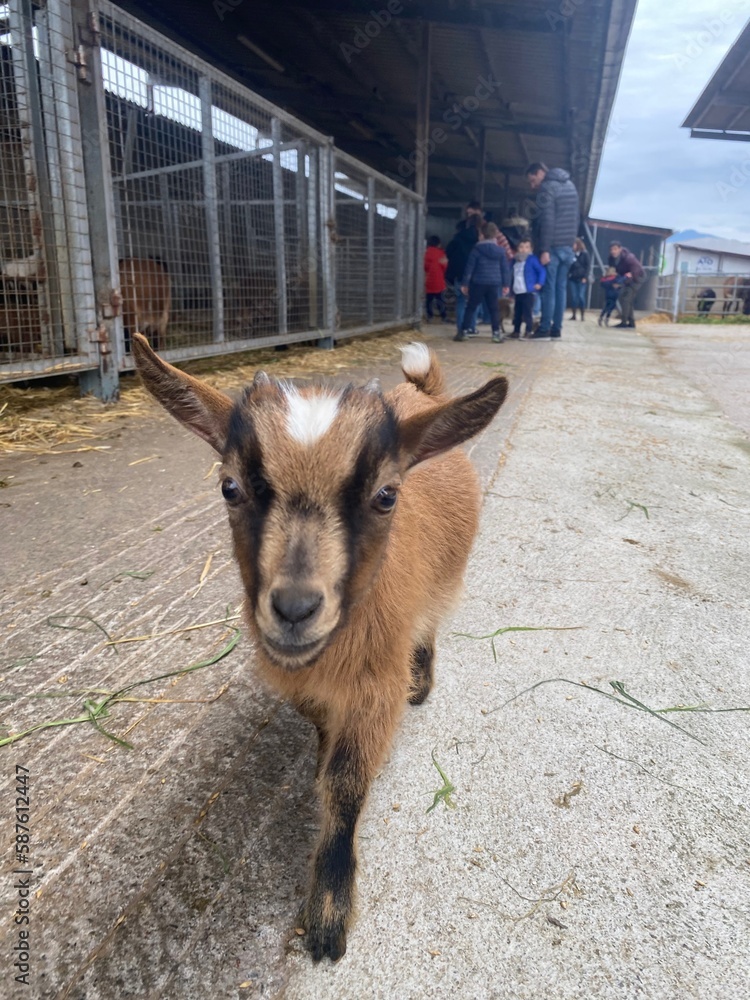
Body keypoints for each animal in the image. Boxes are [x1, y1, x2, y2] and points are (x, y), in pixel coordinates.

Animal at [131, 333, 508, 961]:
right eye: (229, 487)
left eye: (386, 496)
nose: (294, 609)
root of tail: (422, 393)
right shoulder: (299, 680)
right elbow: (324, 741)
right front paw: (319, 752)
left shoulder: (375, 685)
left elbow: (348, 781)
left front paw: (329, 916)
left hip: (446, 580)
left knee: (432, 621)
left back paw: (423, 682)